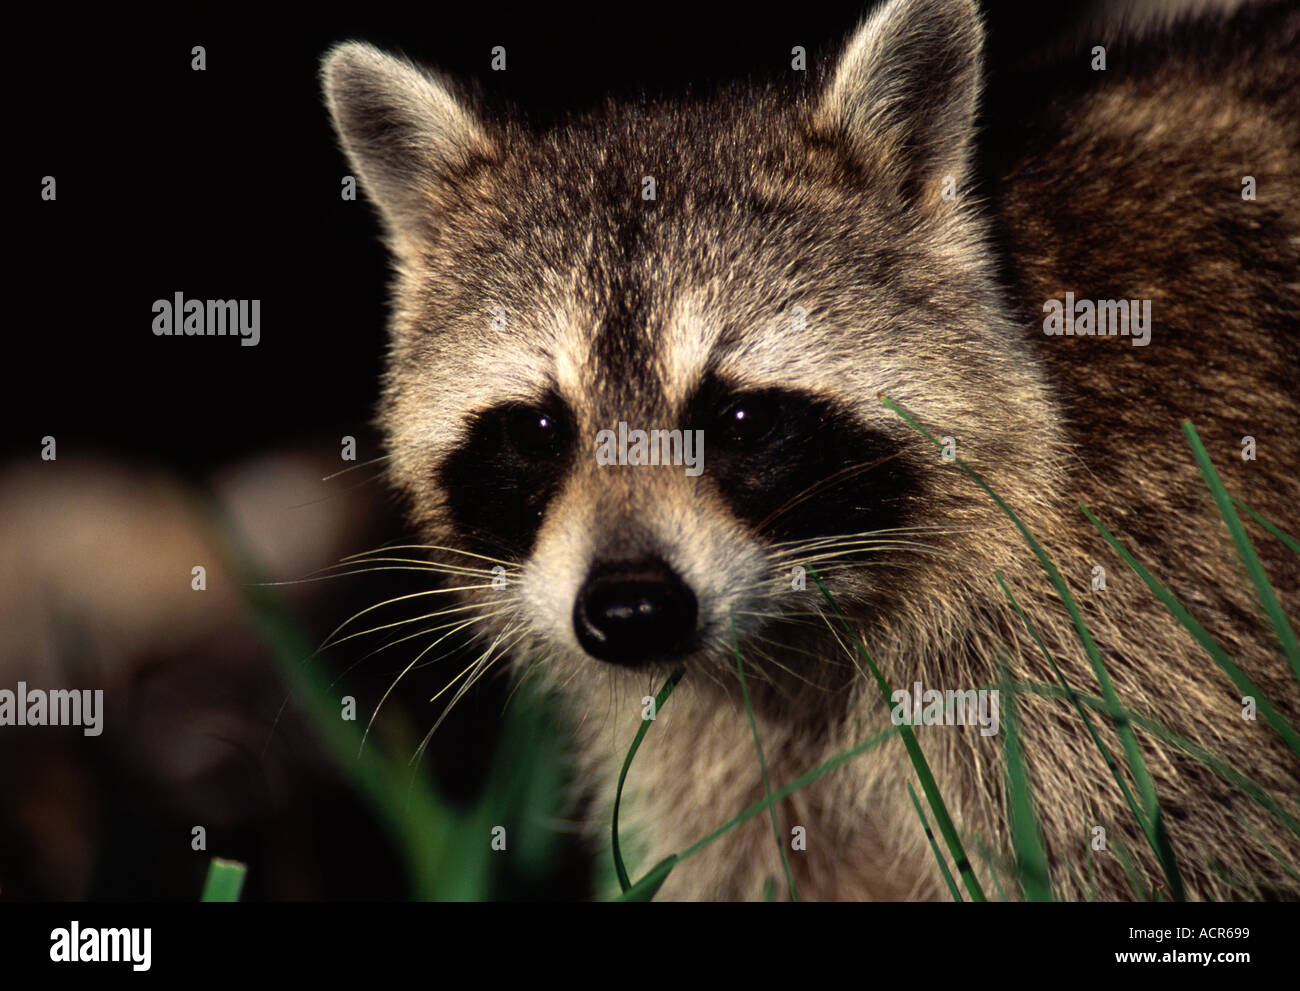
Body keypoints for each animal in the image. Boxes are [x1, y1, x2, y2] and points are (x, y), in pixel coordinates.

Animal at [321, 0, 1300, 900]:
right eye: (538, 430)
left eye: (743, 420)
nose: (631, 610)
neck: (797, 631)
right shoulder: (727, 753)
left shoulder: (1122, 657)